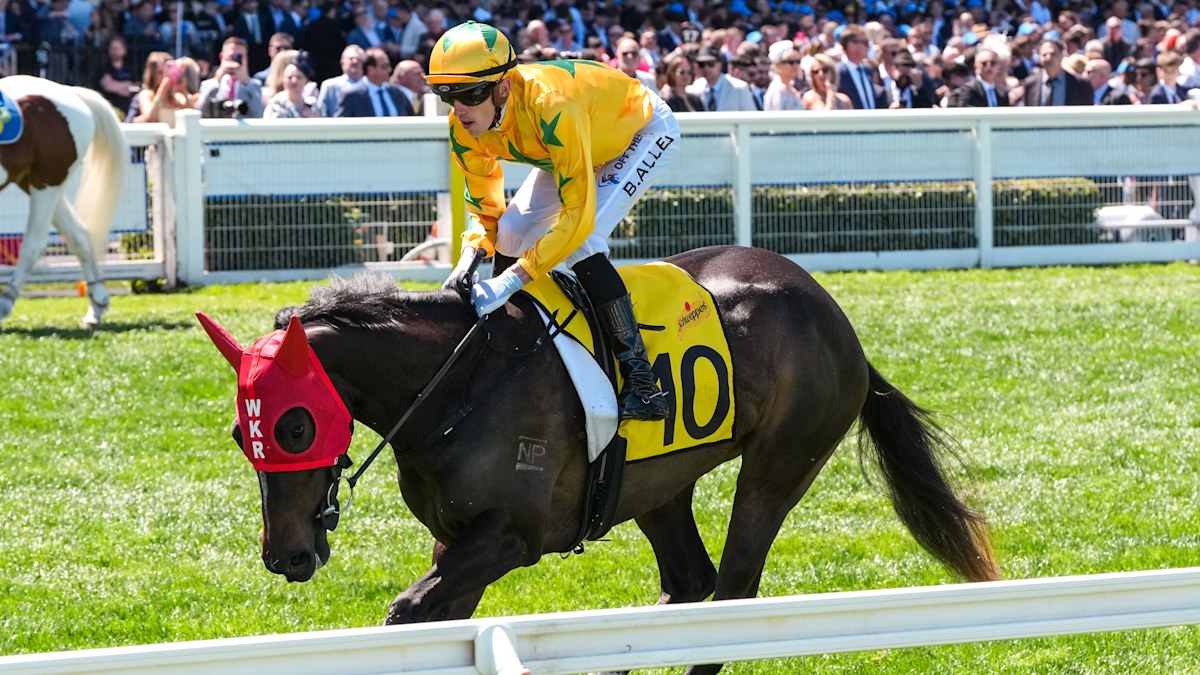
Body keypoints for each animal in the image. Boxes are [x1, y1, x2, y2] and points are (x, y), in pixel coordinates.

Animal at [0, 75, 128, 329]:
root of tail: (71, 93)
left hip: (47, 182)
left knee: (34, 244)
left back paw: (5, 301)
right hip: (34, 182)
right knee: (79, 235)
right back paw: (97, 303)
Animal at [198, 245, 1000, 675]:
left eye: (295, 427)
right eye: (242, 435)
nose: (286, 555)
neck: (455, 382)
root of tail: (831, 309)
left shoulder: (514, 535)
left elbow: (410, 612)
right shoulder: (455, 539)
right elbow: (438, 617)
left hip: (781, 463)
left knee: (733, 588)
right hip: (659, 483)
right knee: (688, 582)